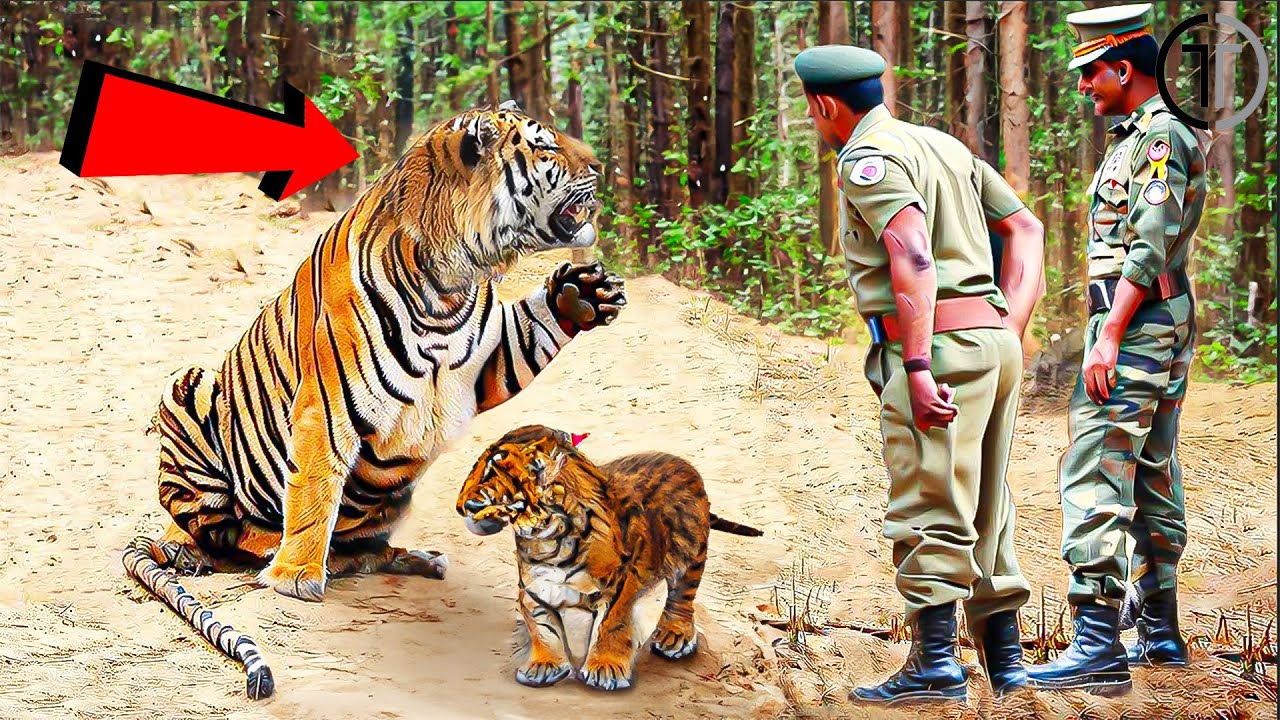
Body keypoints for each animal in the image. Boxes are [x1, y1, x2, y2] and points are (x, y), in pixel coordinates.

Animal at [122, 102, 627, 699]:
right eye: (546, 147)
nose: (601, 164)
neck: (453, 277)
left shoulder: (492, 357)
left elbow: (533, 331)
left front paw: (580, 294)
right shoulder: (326, 405)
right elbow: (314, 488)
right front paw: (294, 577)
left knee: (359, 548)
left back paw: (410, 558)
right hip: (190, 391)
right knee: (221, 532)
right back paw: (261, 549)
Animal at [455, 425, 763, 691]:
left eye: (489, 473)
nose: (460, 507)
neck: (547, 540)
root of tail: (683, 463)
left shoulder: (619, 585)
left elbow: (611, 624)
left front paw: (605, 669)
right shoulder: (534, 591)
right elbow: (543, 630)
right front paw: (543, 666)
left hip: (690, 552)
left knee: (682, 596)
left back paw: (674, 635)